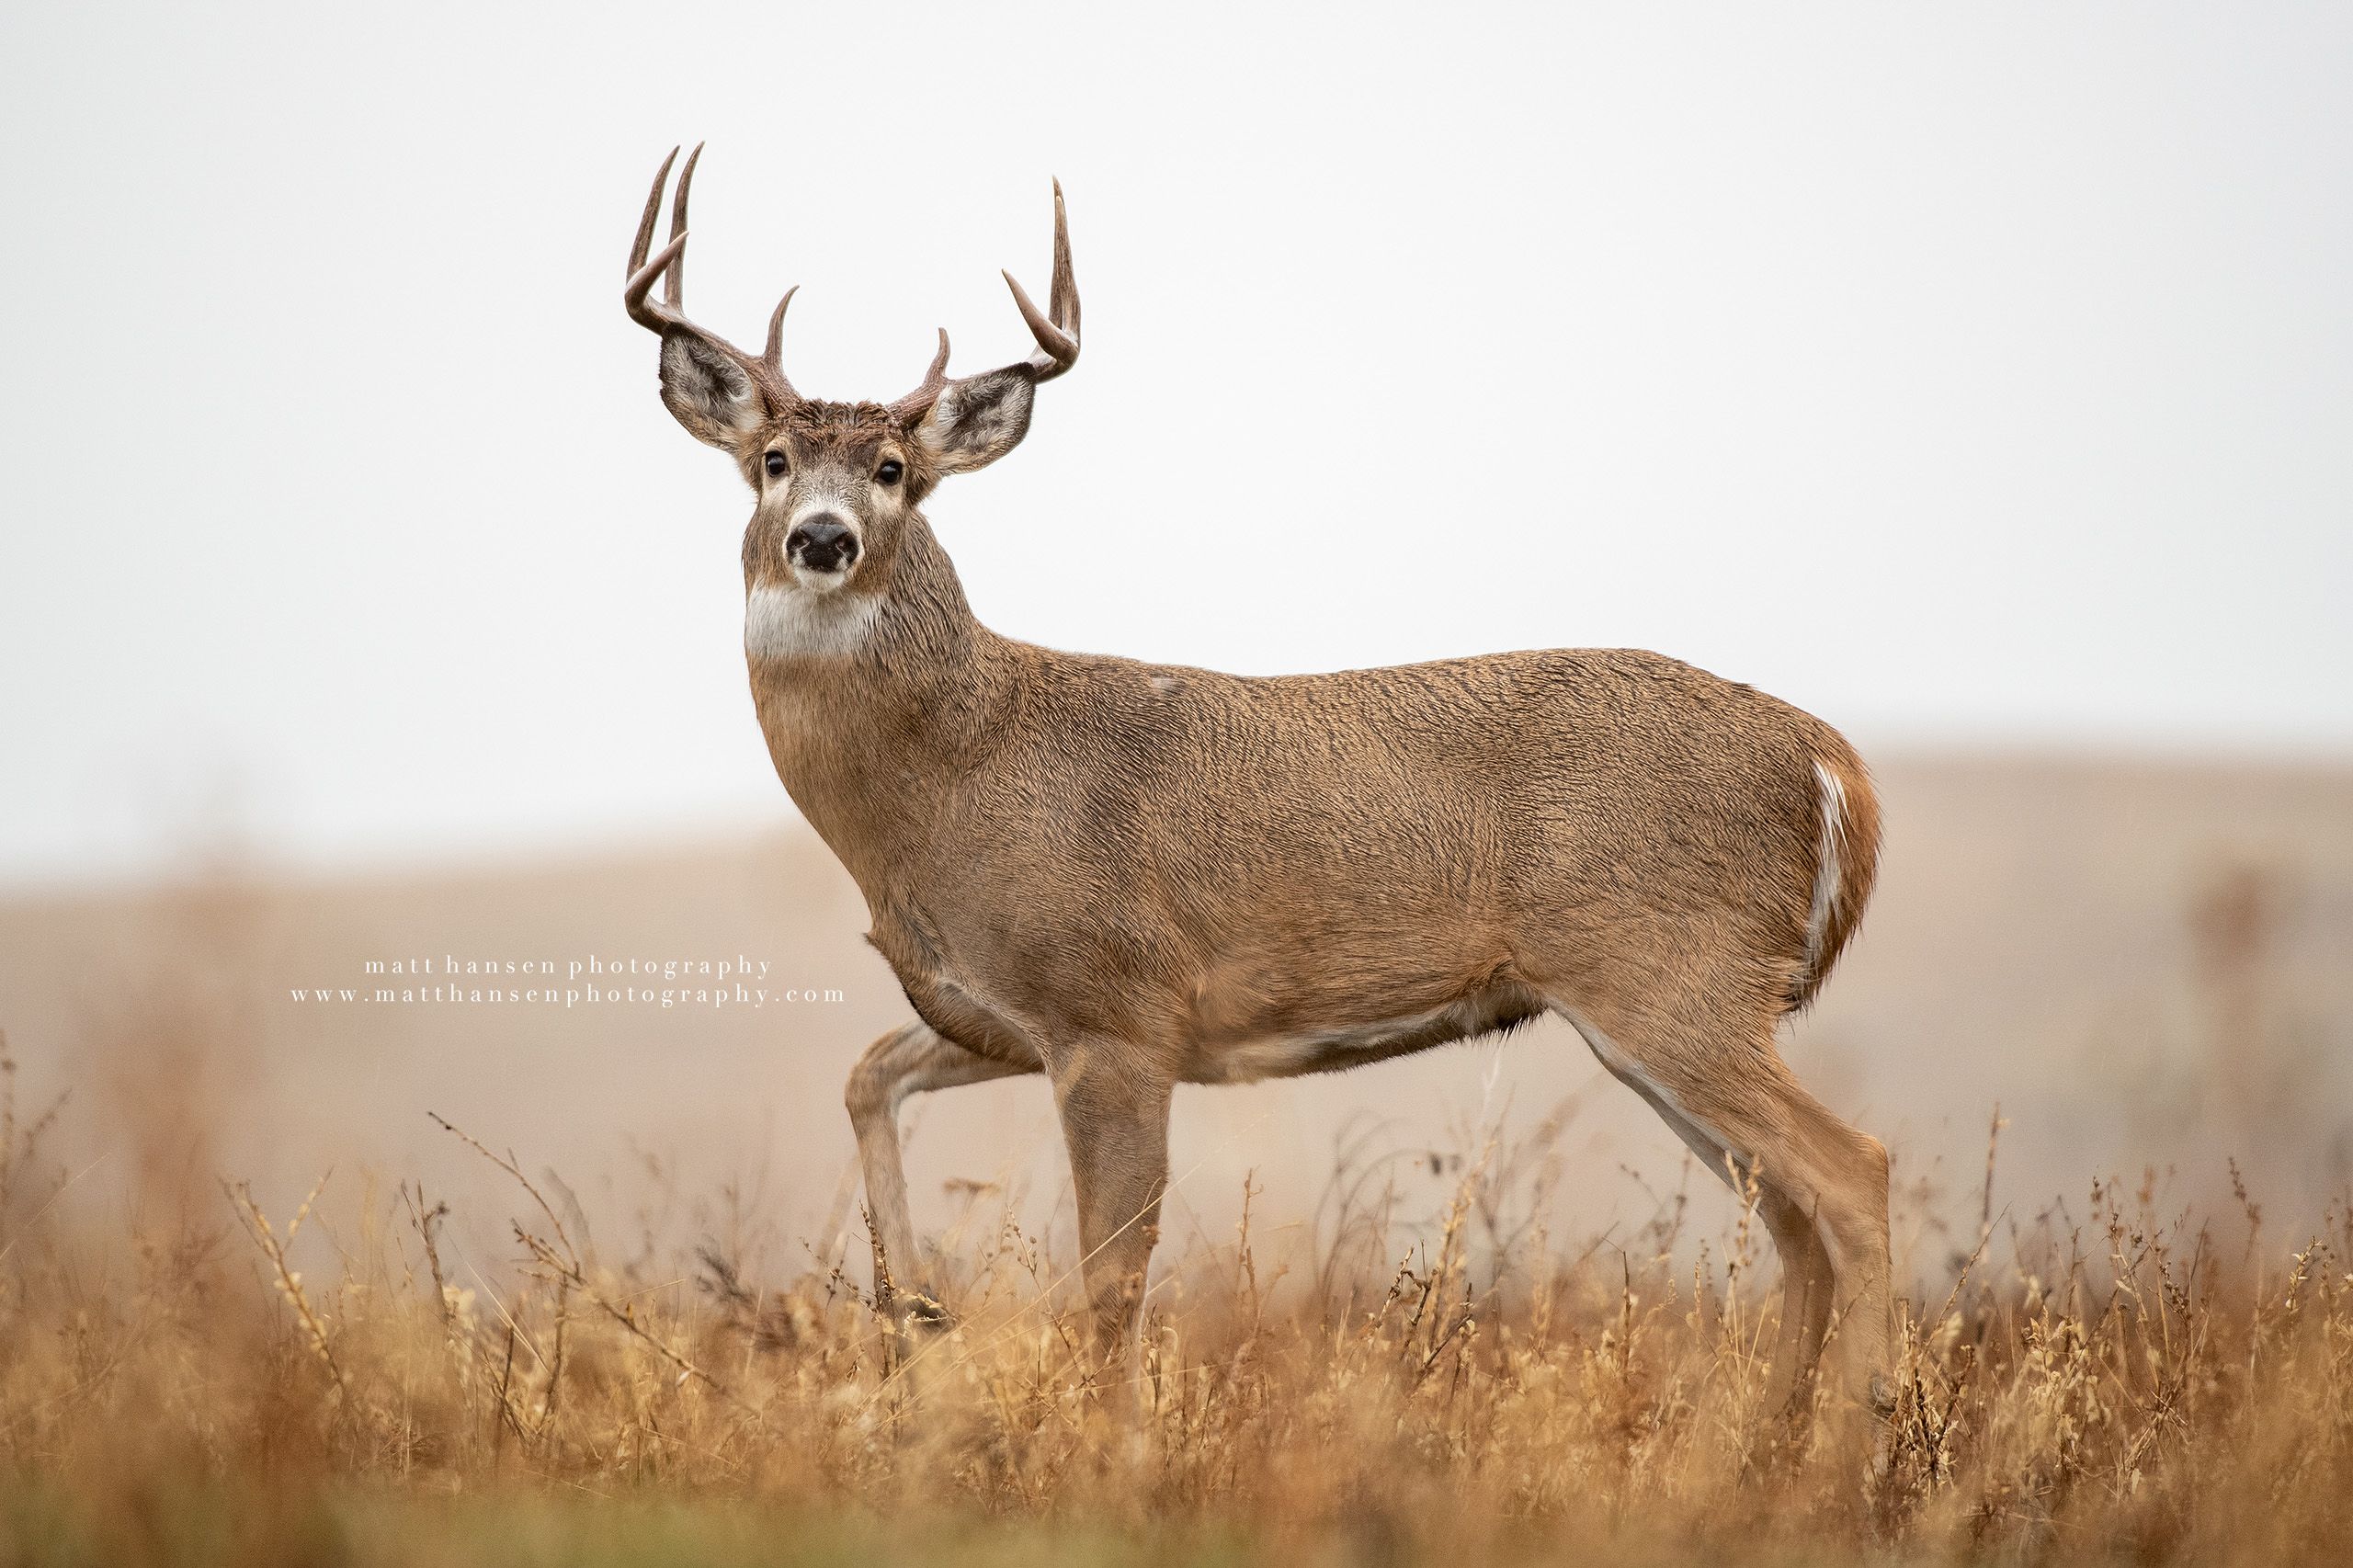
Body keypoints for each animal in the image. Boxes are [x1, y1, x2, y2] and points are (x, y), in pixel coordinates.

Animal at [621, 145, 1894, 1417]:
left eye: (895, 470)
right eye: (772, 462)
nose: (822, 537)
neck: (951, 777)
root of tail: (1830, 762)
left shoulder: (1115, 1007)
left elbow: (1110, 1280)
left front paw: (1103, 1434)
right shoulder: (999, 1013)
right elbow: (866, 1073)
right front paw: (913, 1307)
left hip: (1671, 972)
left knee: (1854, 1172)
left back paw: (1859, 1432)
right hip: (1664, 1003)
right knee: (1793, 1215)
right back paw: (1762, 1437)